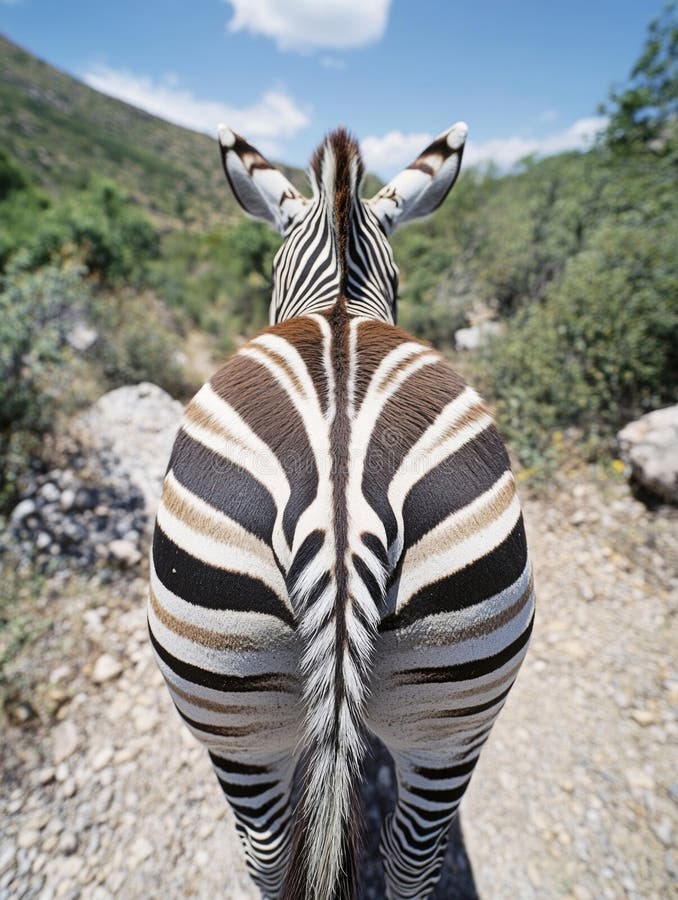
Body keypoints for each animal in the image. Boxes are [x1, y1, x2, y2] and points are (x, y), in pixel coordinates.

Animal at [149, 121, 534, 900]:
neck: (336, 308)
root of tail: (341, 502)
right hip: (454, 716)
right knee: (412, 858)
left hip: (243, 727)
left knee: (268, 855)